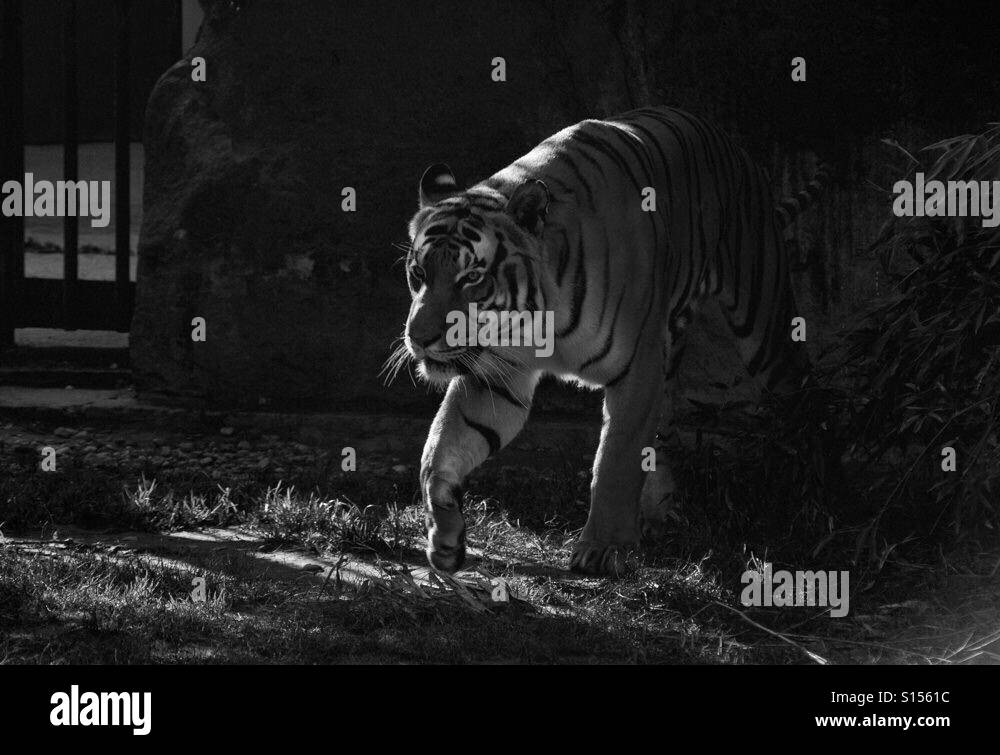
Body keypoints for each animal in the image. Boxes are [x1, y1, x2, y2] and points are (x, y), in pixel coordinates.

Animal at [394, 105, 829, 576]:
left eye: (472, 277)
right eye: (418, 272)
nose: (419, 338)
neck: (534, 320)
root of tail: (729, 143)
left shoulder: (637, 369)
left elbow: (616, 459)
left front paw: (602, 549)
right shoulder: (497, 375)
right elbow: (439, 451)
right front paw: (444, 540)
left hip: (762, 320)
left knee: (800, 392)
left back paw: (817, 495)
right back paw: (658, 515)